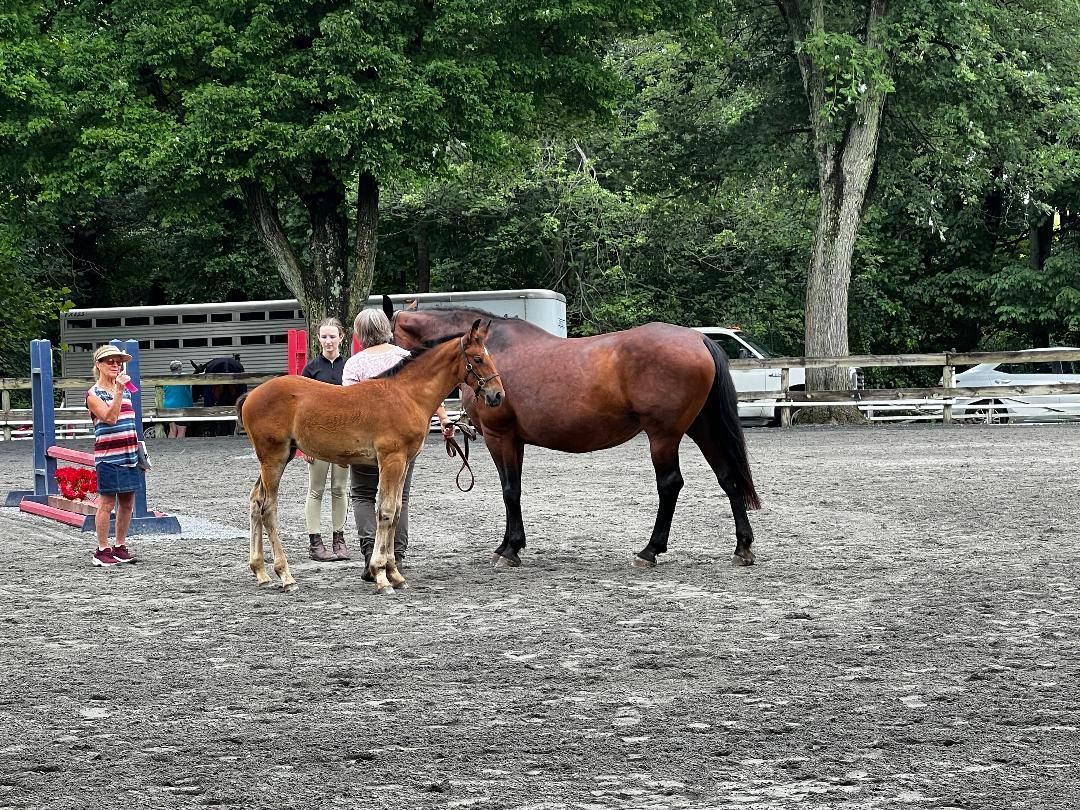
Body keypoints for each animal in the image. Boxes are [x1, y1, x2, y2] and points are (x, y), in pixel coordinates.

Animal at [236, 320, 504, 594]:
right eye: (478, 358)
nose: (497, 395)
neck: (407, 395)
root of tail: (252, 395)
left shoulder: (403, 463)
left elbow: (396, 511)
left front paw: (395, 574)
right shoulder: (391, 460)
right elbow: (385, 511)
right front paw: (381, 576)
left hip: (278, 458)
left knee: (255, 500)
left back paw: (261, 572)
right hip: (274, 458)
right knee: (268, 508)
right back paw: (285, 576)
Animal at [386, 298, 761, 569]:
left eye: (390, 338)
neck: (493, 351)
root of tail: (697, 337)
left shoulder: (498, 435)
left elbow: (509, 490)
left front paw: (509, 550)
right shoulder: (515, 440)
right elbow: (515, 489)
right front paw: (510, 544)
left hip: (663, 435)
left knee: (670, 485)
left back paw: (650, 550)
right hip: (702, 427)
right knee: (728, 478)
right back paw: (743, 547)